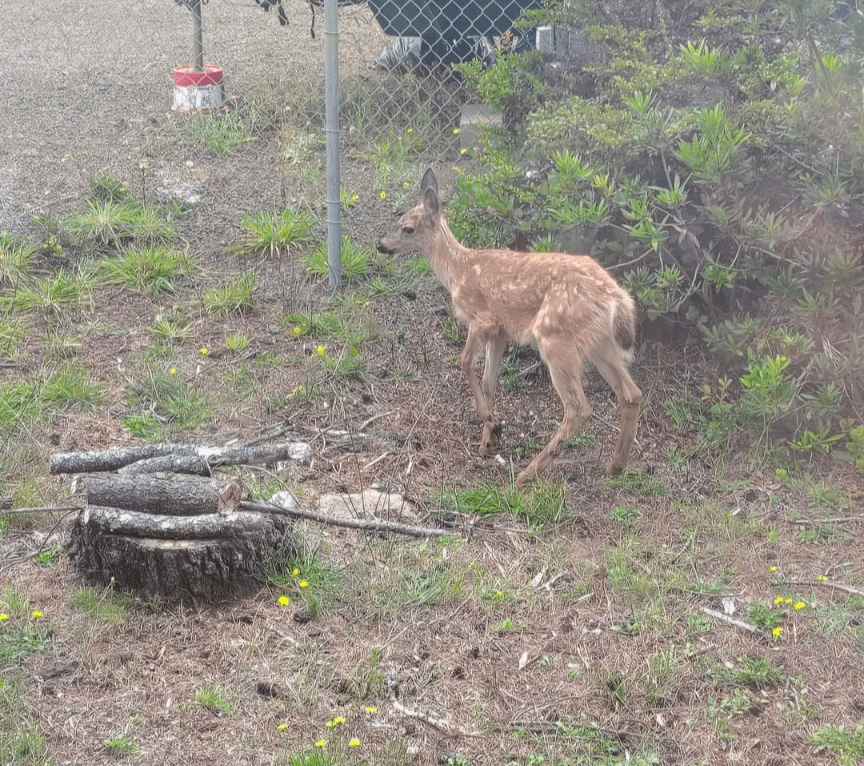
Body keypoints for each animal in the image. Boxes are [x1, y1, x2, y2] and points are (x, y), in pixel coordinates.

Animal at [377, 168, 642, 488]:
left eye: (407, 229)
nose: (381, 244)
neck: (457, 271)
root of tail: (618, 299)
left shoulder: (483, 319)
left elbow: (464, 362)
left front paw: (493, 425)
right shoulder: (500, 333)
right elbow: (489, 381)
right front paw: (488, 440)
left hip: (556, 338)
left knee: (579, 409)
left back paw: (527, 474)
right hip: (601, 344)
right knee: (631, 394)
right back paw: (615, 466)